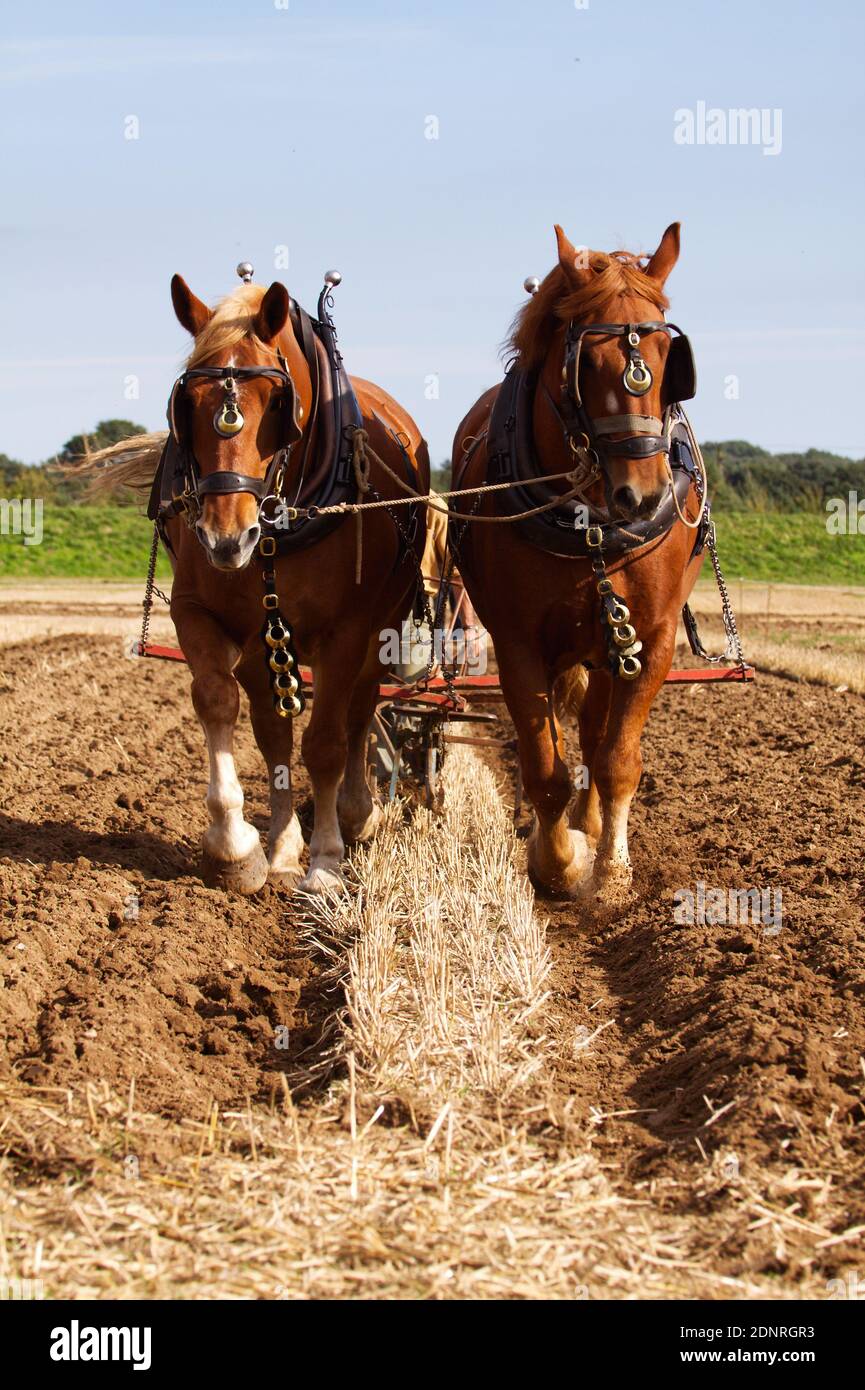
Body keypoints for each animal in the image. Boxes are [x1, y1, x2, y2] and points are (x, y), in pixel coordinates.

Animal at [90, 272, 429, 895]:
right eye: (187, 405)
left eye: (278, 404)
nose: (227, 538)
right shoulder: (200, 613)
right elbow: (220, 703)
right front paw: (238, 847)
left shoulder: (346, 633)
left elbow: (326, 742)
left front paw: (326, 859)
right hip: (263, 642)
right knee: (274, 728)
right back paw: (283, 844)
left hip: (382, 629)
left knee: (360, 713)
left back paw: (355, 813)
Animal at [450, 223, 705, 904]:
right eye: (585, 362)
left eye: (668, 356)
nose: (640, 494)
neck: (590, 524)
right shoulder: (517, 644)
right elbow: (545, 765)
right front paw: (556, 862)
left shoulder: (650, 638)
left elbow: (617, 759)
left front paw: (611, 870)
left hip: (607, 641)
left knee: (595, 734)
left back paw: (592, 827)